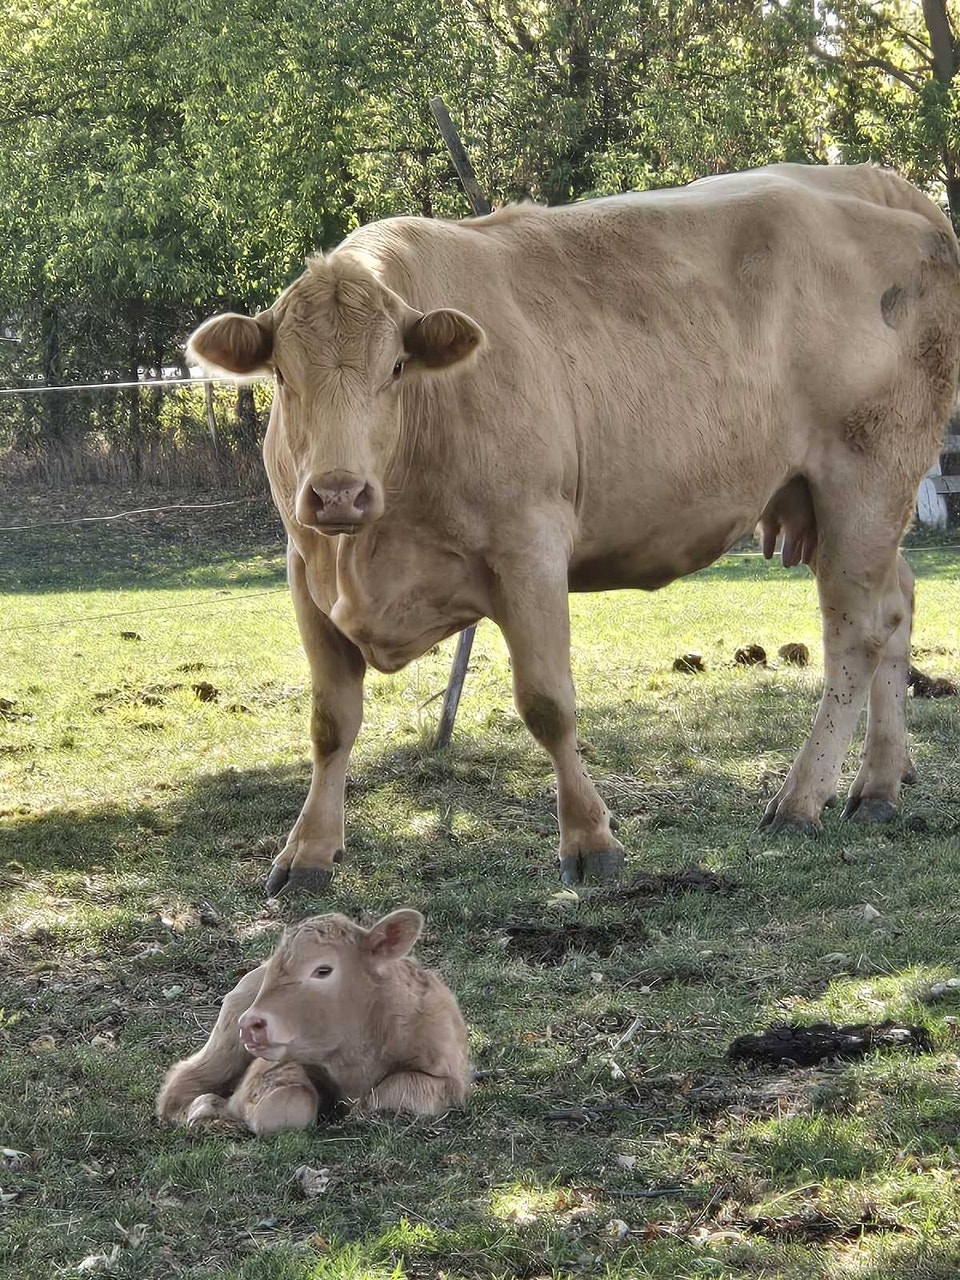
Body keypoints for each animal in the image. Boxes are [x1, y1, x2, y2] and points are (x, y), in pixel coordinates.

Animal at [156, 909, 472, 1134]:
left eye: (323, 970)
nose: (251, 1025)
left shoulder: (450, 1077)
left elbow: (395, 1091)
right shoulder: (274, 1064)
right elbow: (287, 1101)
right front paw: (219, 1108)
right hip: (224, 1044)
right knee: (181, 1083)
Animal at [187, 163, 960, 894]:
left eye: (397, 368)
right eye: (282, 375)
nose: (339, 493)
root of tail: (878, 185)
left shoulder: (529, 549)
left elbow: (548, 703)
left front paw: (590, 841)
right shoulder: (306, 568)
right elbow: (330, 722)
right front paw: (308, 853)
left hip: (864, 477)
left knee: (857, 635)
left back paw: (802, 800)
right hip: (841, 505)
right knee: (896, 604)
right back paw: (878, 786)